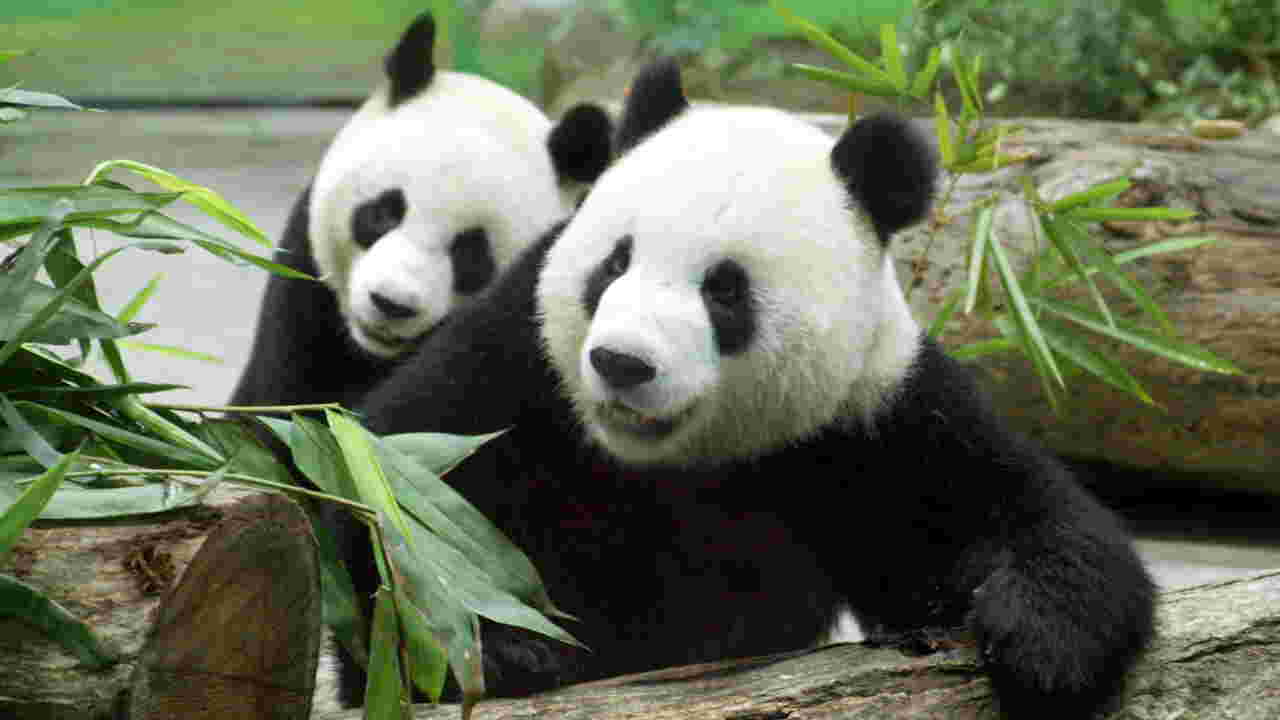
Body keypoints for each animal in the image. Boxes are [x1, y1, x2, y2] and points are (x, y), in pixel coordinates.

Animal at [336, 59, 1156, 718]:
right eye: (615, 262)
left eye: (724, 291)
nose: (622, 363)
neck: (661, 460)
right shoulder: (516, 365)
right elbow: (392, 489)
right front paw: (497, 645)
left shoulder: (866, 416)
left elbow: (1022, 514)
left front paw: (1033, 642)